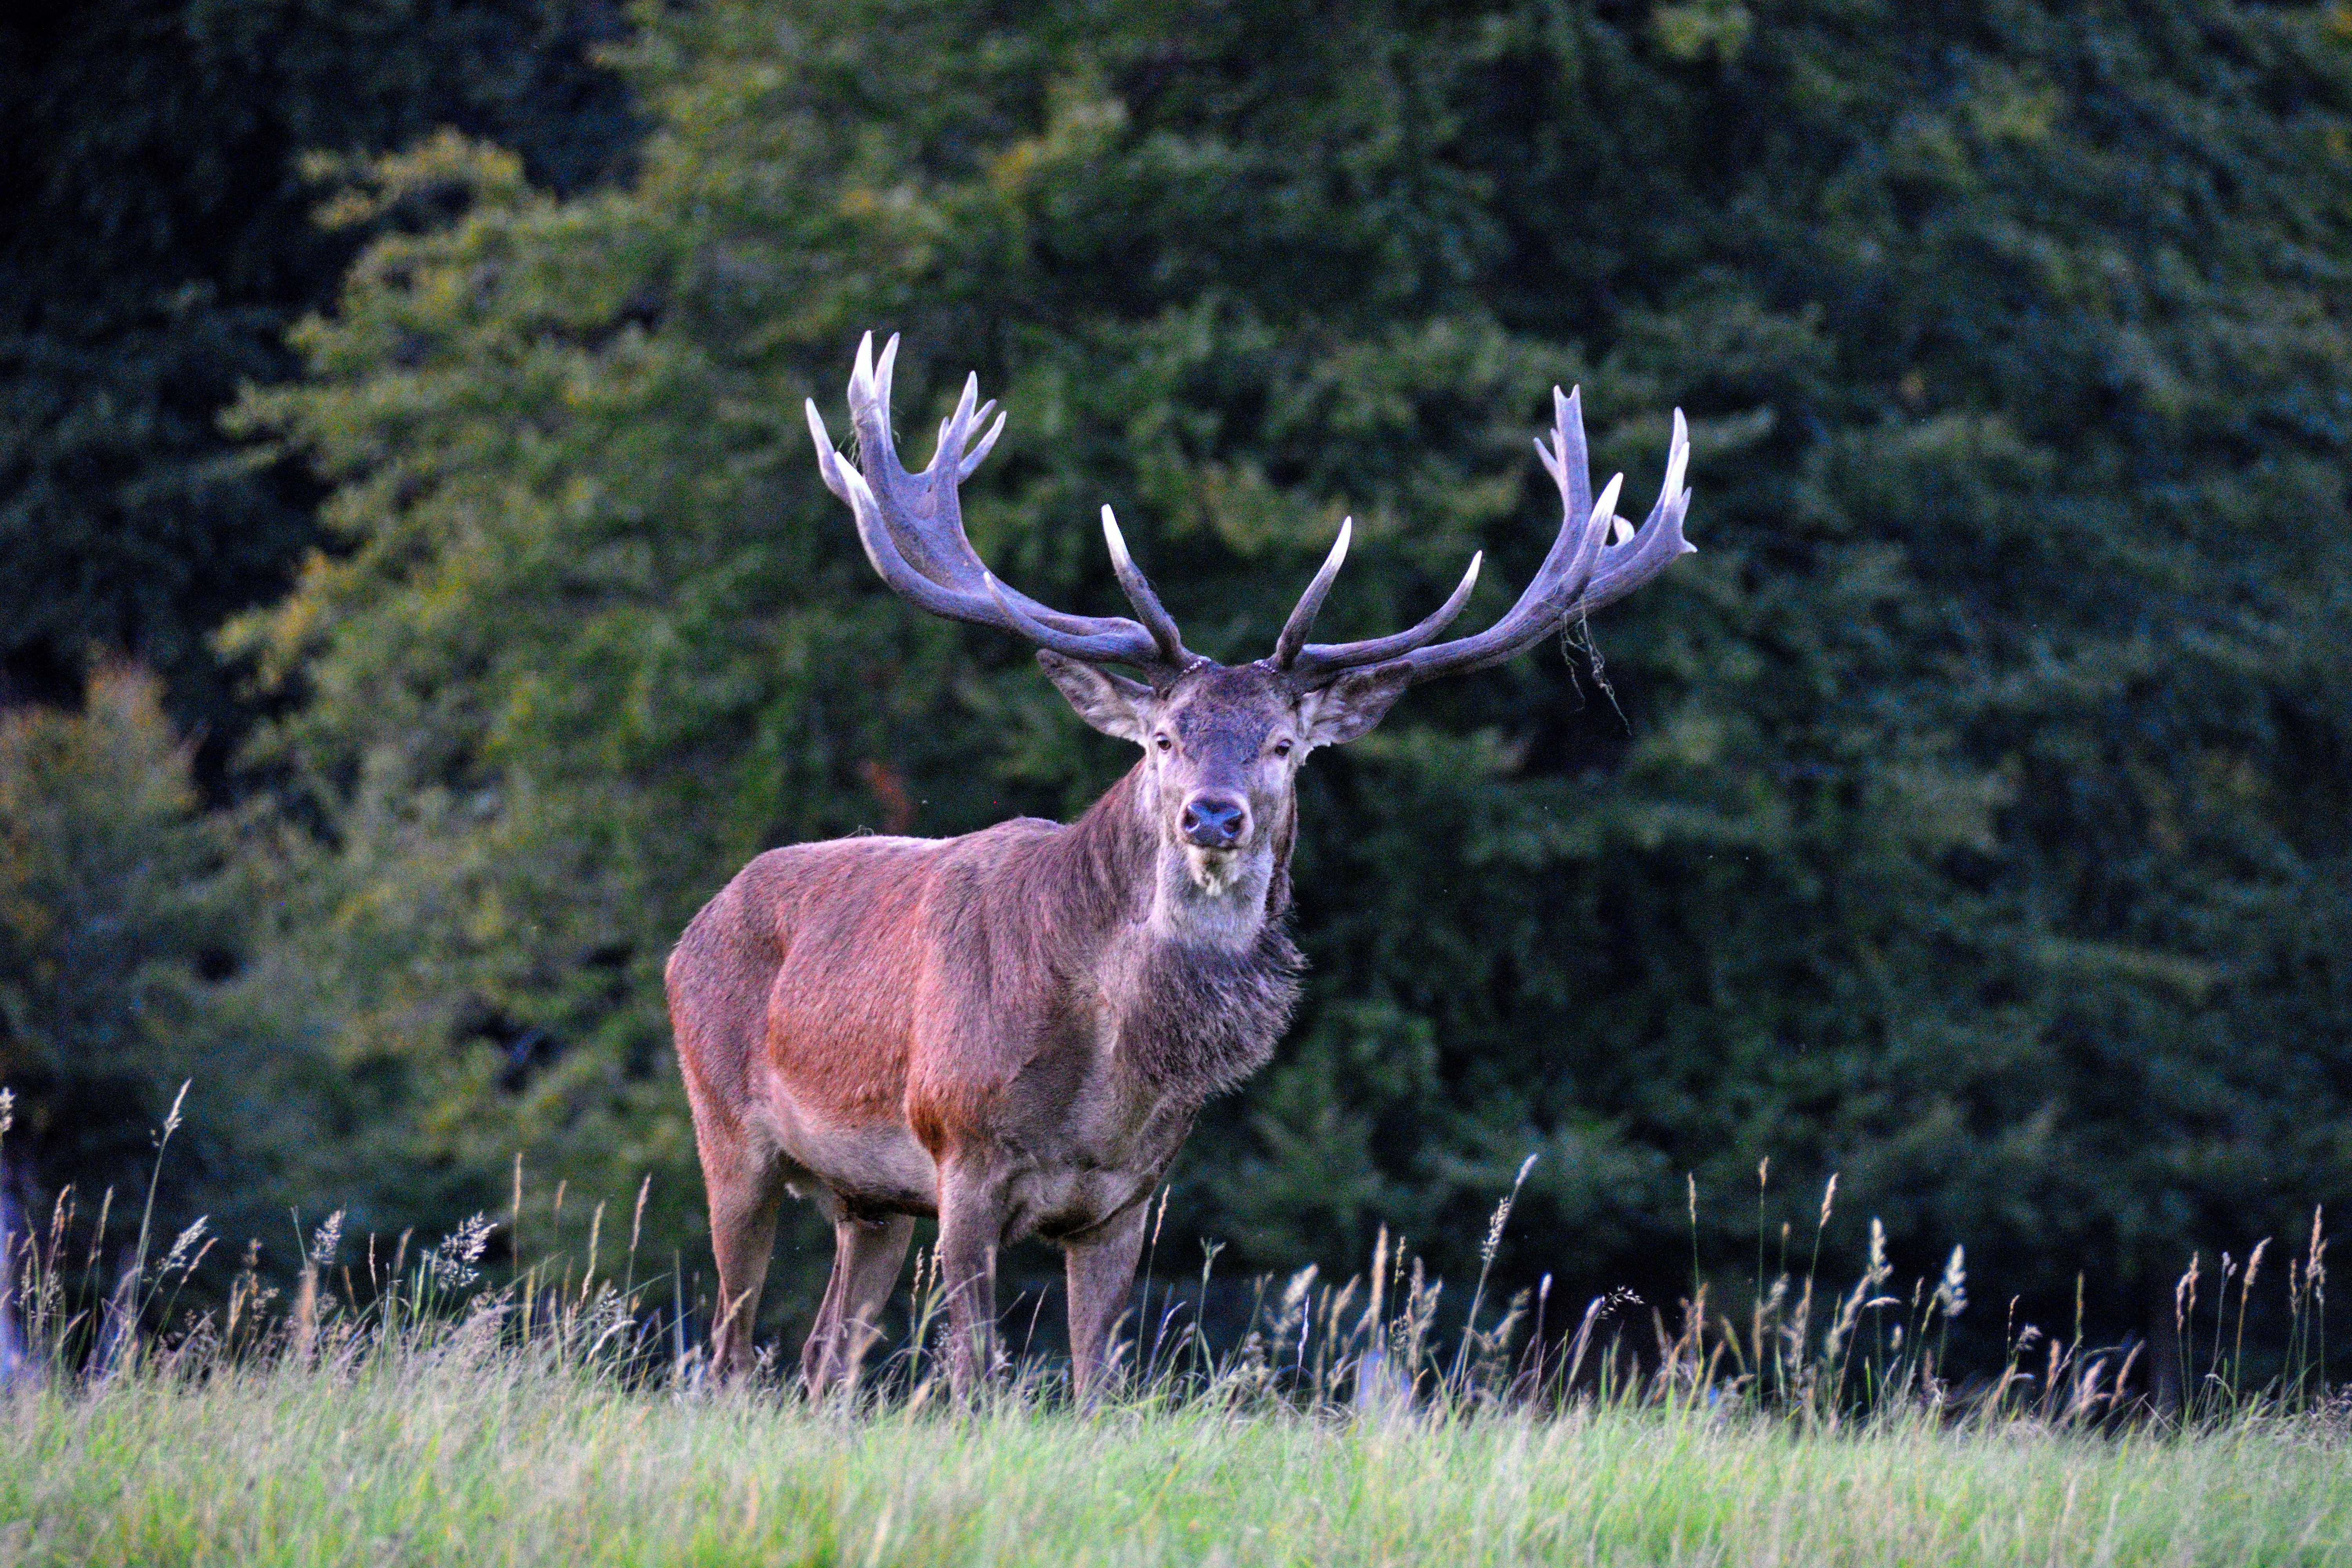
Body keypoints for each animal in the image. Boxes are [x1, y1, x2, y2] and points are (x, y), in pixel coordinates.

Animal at [666, 333, 1694, 1400]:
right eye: (1162, 738)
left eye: (1284, 744)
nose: (1213, 812)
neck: (1101, 1081)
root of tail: (695, 924)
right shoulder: (962, 1154)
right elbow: (975, 1375)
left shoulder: (1128, 1199)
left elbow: (1097, 1385)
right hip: (728, 1129)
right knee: (731, 1348)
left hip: (867, 1199)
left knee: (824, 1357)